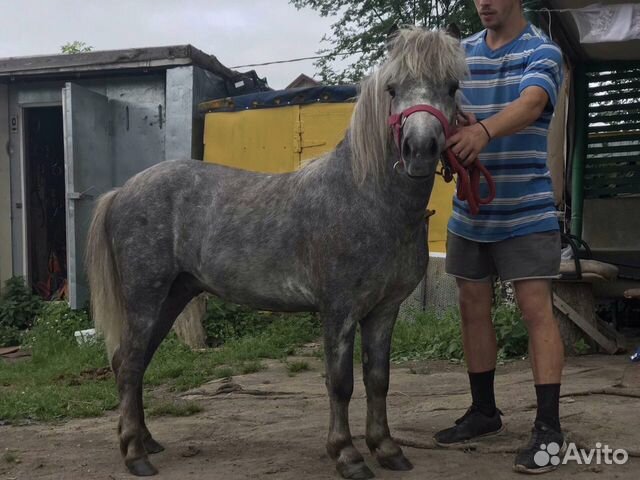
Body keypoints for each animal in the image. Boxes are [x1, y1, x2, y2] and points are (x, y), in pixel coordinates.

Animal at [86, 27, 468, 479]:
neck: (366, 198)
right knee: (128, 363)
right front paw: (347, 455)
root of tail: (122, 190)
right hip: (144, 297)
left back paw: (146, 441)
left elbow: (378, 379)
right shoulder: (339, 311)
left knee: (135, 363)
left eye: (452, 87)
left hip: (173, 296)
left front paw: (387, 449)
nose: (420, 148)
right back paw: (135, 455)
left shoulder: (383, 311)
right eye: (393, 88)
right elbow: (341, 383)